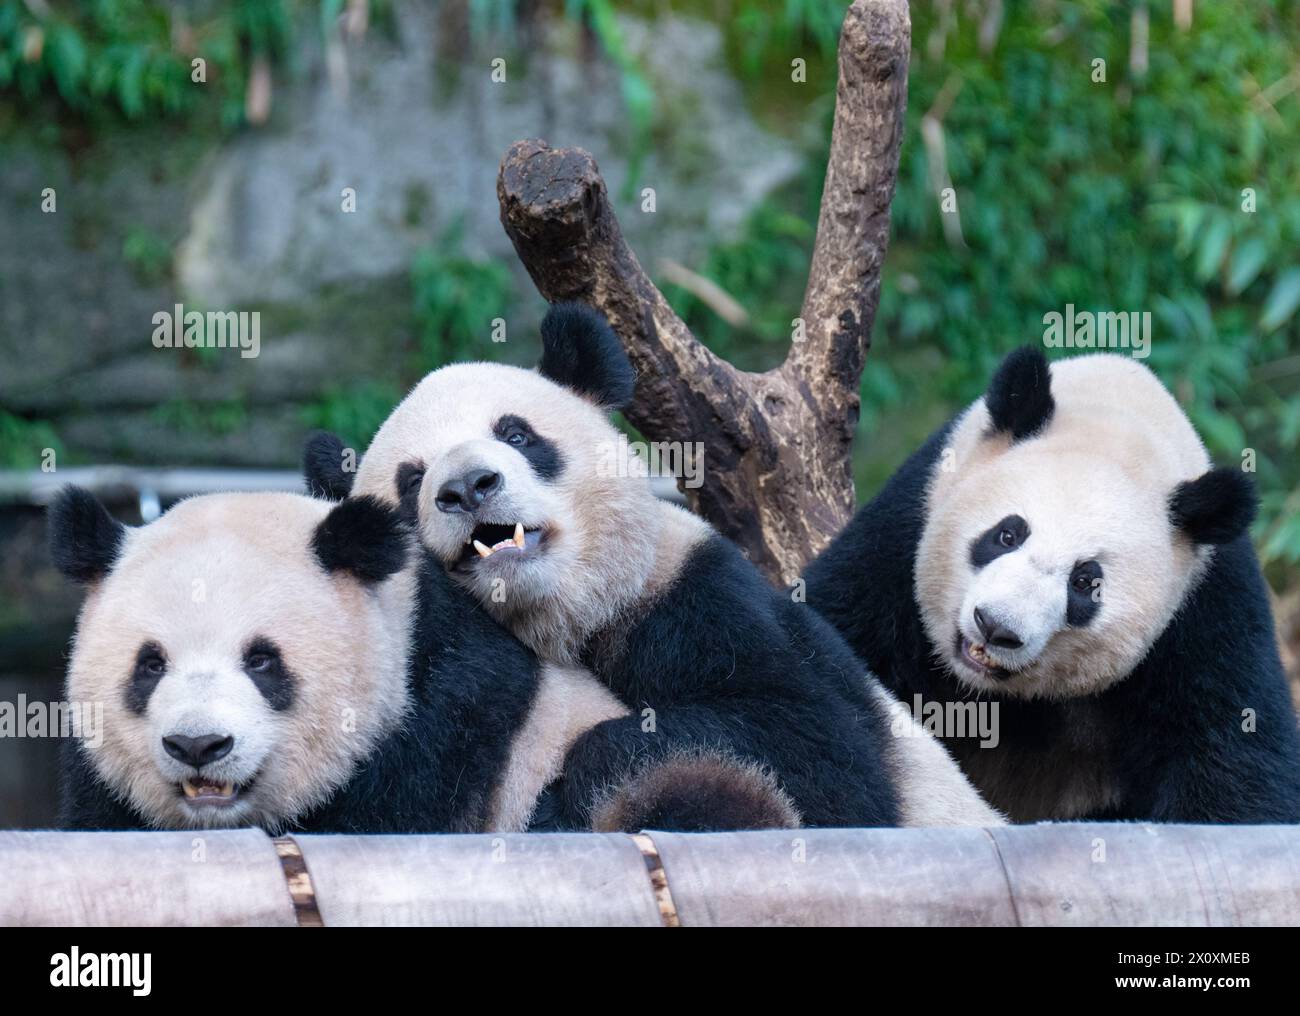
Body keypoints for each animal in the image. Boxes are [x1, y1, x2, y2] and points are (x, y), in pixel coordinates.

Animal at [304, 303, 1003, 830]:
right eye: (411, 481)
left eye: (517, 434)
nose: (469, 488)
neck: (559, 616)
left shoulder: (696, 593)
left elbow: (819, 755)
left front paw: (571, 790)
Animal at [804, 347, 1300, 824]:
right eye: (1007, 534)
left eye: (1085, 582)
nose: (995, 626)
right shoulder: (900, 536)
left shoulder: (1209, 612)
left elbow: (1235, 767)